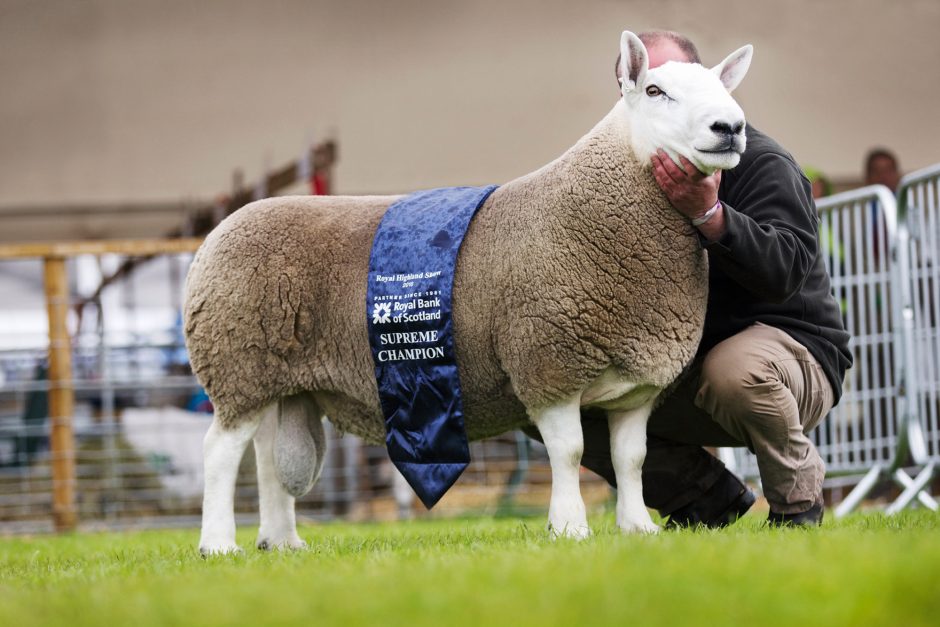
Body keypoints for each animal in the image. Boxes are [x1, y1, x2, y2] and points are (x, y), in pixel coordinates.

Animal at [186, 31, 754, 554]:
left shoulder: (637, 385)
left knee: (264, 455)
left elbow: (631, 459)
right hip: (235, 359)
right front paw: (569, 528)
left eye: (722, 91)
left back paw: (281, 541)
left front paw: (637, 528)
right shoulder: (546, 363)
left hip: (276, 376)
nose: (729, 128)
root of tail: (223, 228)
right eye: (655, 90)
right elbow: (569, 452)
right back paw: (218, 544)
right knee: (219, 452)